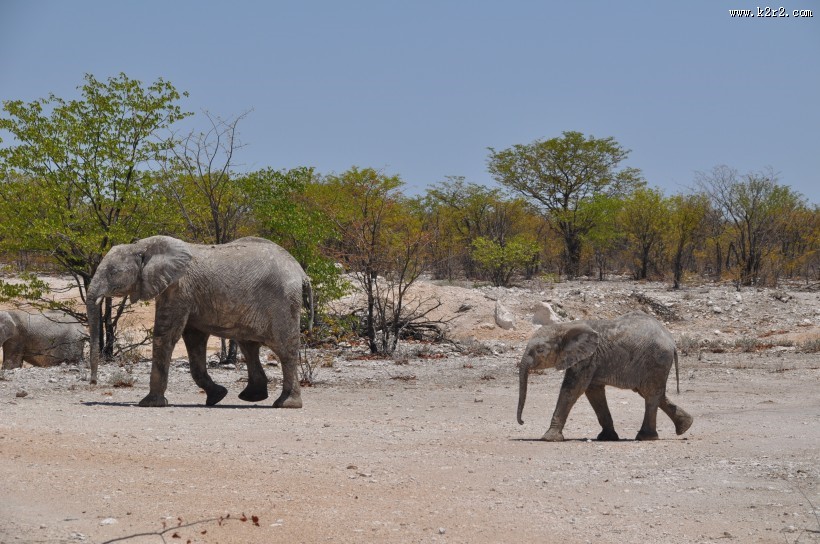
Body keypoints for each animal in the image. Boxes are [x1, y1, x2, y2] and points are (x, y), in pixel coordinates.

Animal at [86, 235, 313, 408]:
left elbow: (165, 336)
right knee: (249, 346)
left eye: (113, 273)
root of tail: (301, 272)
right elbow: (194, 340)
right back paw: (251, 397)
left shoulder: (179, 289)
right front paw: (217, 396)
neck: (142, 246)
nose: (93, 382)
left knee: (285, 350)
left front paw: (149, 404)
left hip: (283, 303)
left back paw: (286, 404)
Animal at [517, 311, 693, 441]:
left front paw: (548, 438)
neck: (565, 327)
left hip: (656, 359)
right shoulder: (590, 359)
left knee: (650, 394)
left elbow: (572, 389)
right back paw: (685, 426)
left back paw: (645, 437)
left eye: (539, 350)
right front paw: (607, 437)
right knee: (651, 393)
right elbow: (594, 392)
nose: (522, 422)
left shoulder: (588, 358)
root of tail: (672, 341)